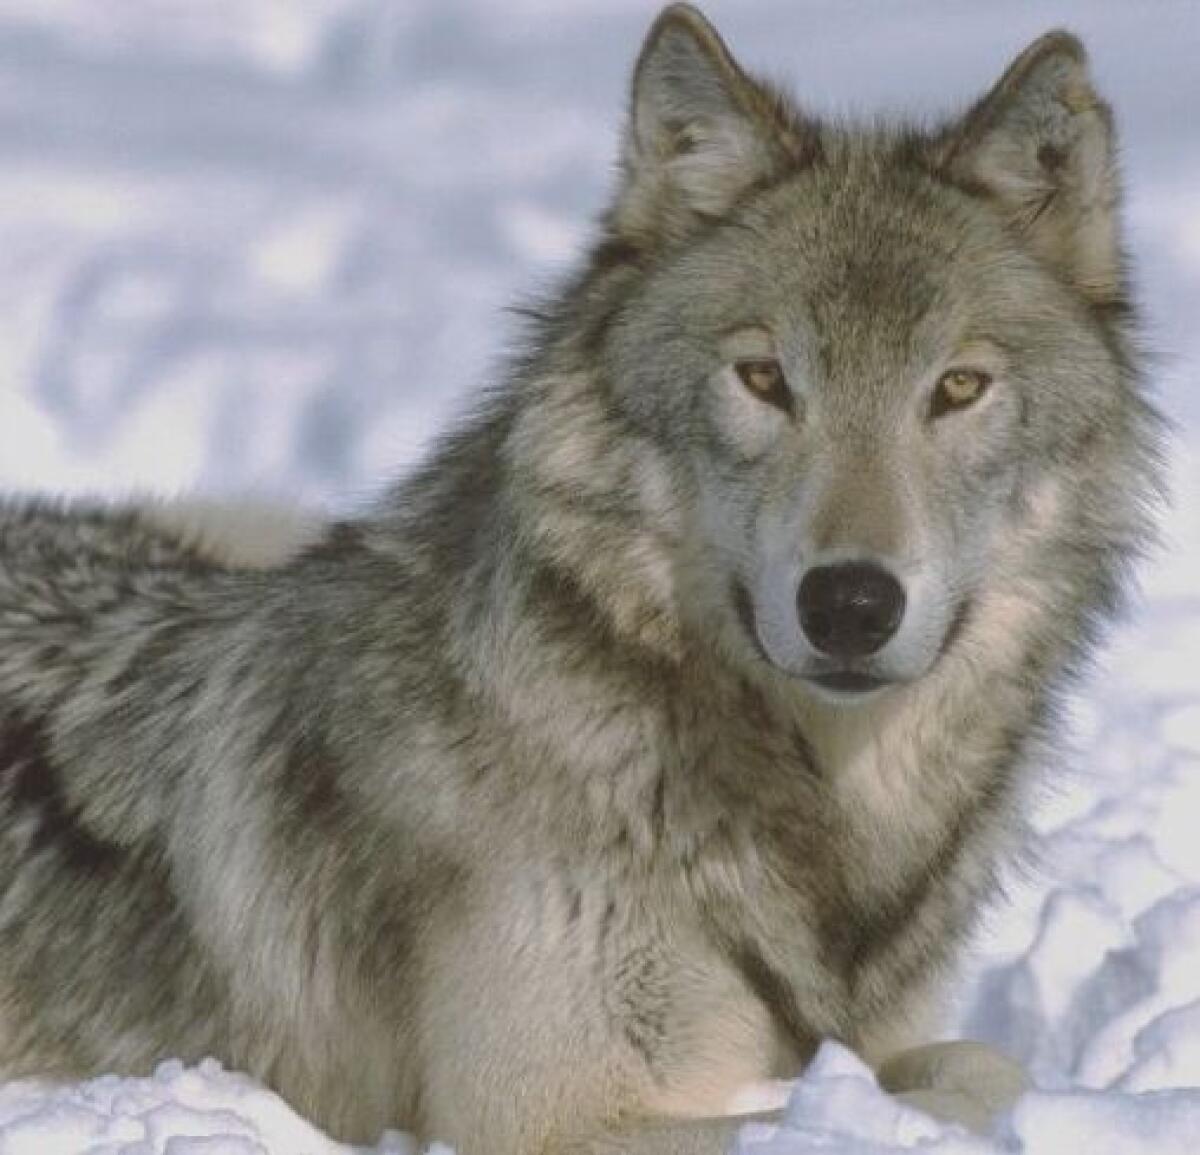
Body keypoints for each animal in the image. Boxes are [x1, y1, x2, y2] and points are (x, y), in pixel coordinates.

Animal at [0, 6, 1162, 1154]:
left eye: (958, 388)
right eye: (764, 380)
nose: (849, 603)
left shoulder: (880, 1032)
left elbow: (974, 1062)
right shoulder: (547, 1114)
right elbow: (945, 1092)